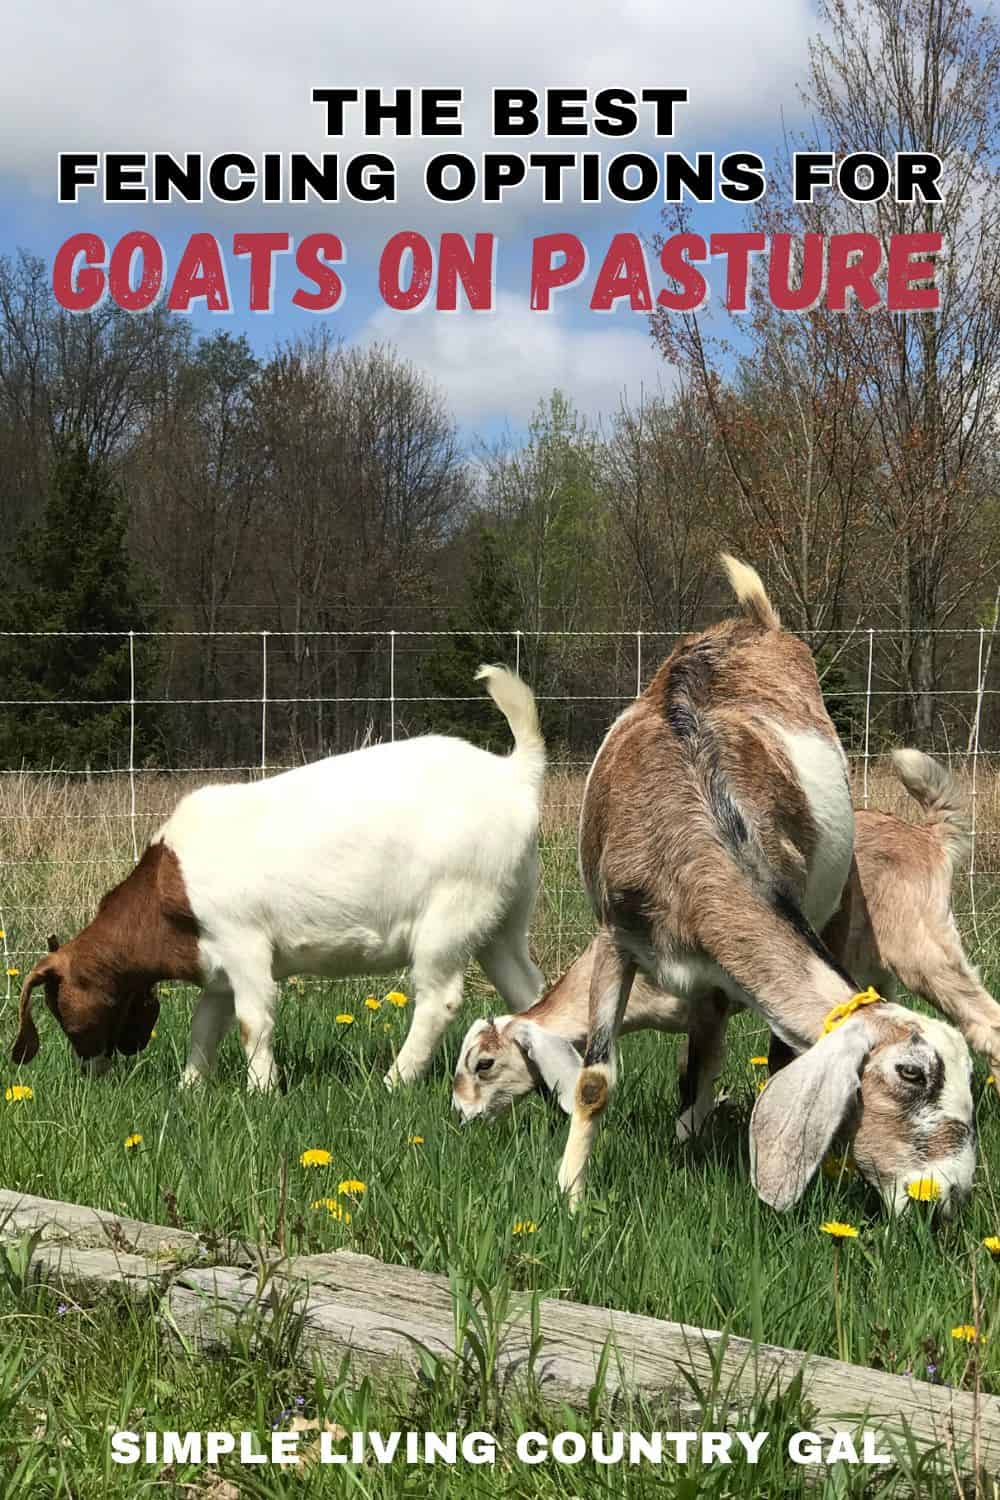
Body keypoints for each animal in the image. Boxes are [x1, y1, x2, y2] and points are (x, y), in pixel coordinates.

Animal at [11, 666, 546, 1091]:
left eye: (60, 1007)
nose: (90, 1071)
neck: (169, 888)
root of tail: (514, 774)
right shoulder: (218, 968)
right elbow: (205, 1025)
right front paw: (189, 1089)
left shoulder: (243, 943)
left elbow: (254, 1021)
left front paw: (262, 1091)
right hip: (503, 920)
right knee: (529, 990)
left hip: (451, 913)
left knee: (439, 999)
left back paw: (394, 1081)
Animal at [454, 749, 998, 1190]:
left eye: (484, 1063)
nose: (460, 1115)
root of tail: (929, 837)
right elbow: (689, 1074)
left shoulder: (707, 1004)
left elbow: (698, 1078)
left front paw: (686, 1146)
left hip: (924, 946)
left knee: (984, 1019)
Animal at [547, 557, 975, 1215]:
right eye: (911, 1074)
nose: (945, 1196)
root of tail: (757, 623)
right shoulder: (617, 939)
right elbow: (595, 1080)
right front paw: (570, 1197)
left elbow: (758, 1063)